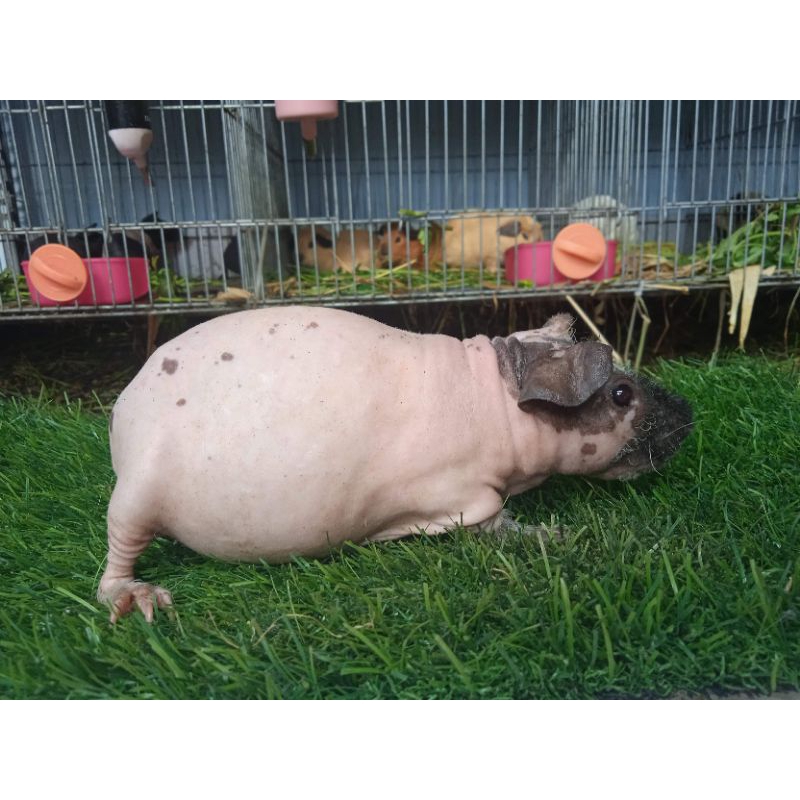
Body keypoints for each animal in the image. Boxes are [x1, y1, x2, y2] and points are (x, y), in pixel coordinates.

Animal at [98, 308, 693, 622]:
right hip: (137, 498)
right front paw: (560, 535)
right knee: (114, 562)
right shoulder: (469, 501)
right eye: (620, 393)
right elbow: (506, 529)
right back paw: (138, 598)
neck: (498, 403)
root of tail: (123, 416)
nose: (689, 418)